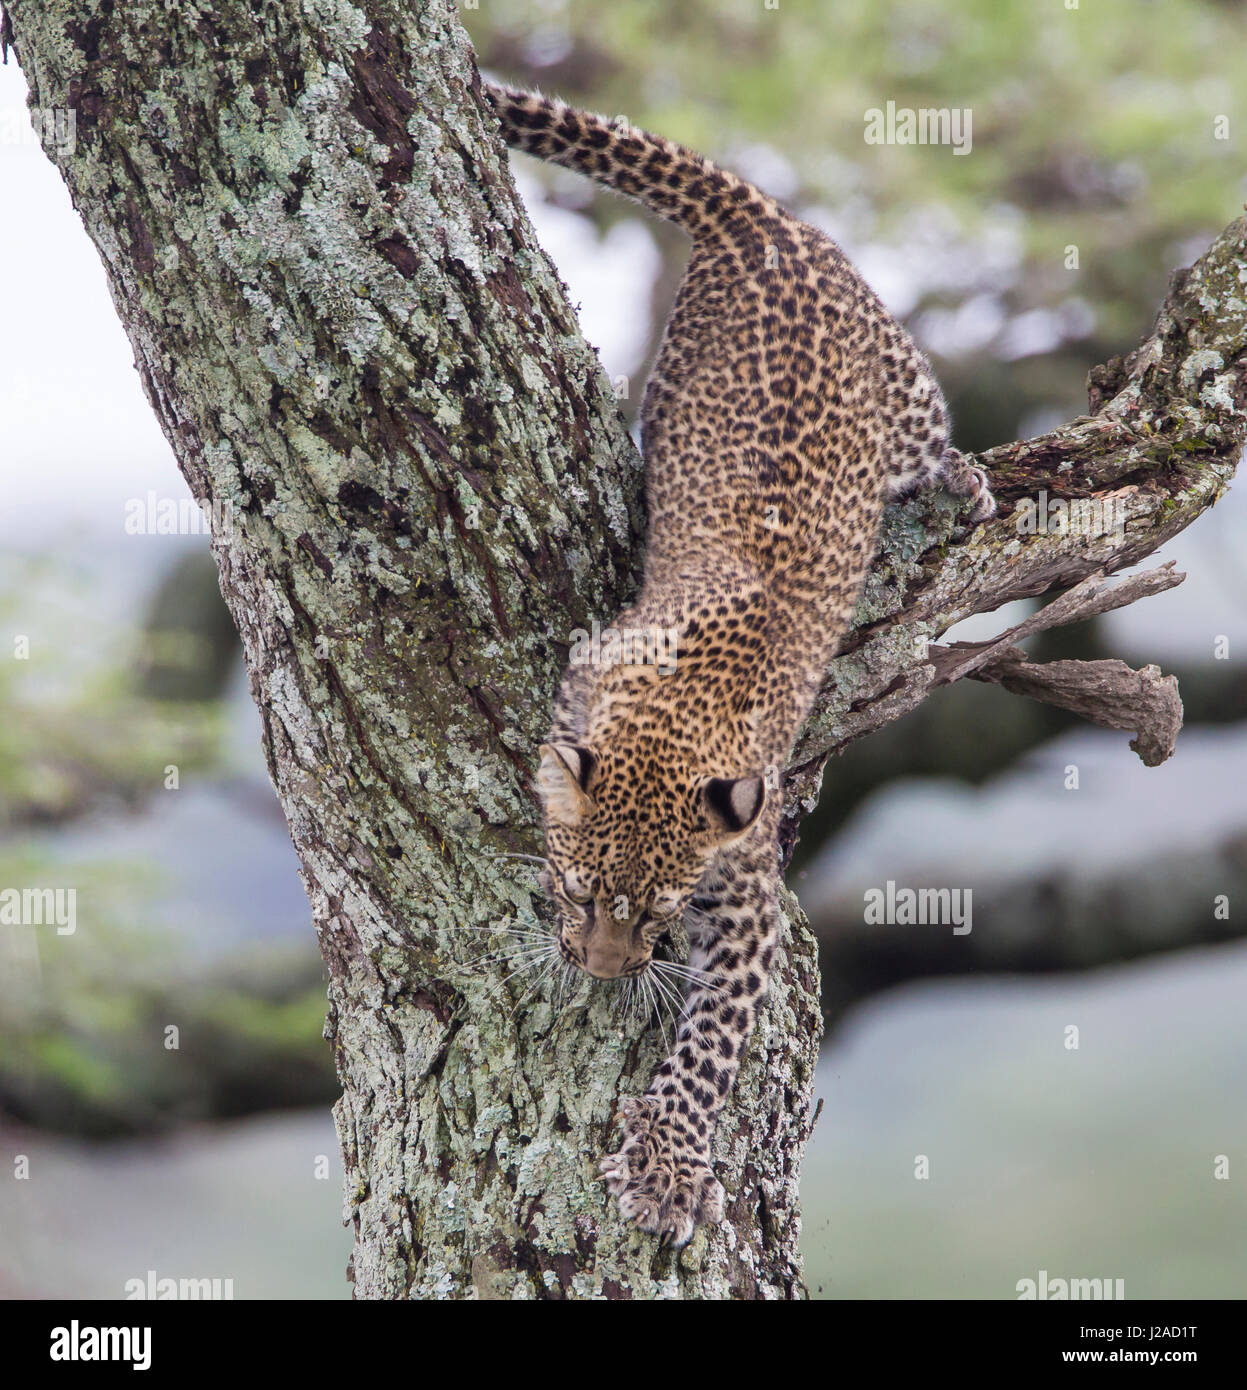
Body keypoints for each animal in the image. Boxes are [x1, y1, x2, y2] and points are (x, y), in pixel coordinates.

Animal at [484, 80, 996, 1247]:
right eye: (577, 891)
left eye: (658, 911)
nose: (600, 971)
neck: (675, 715)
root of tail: (764, 224)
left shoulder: (751, 886)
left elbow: (714, 1037)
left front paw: (668, 1163)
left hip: (899, 391)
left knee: (932, 432)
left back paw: (965, 478)